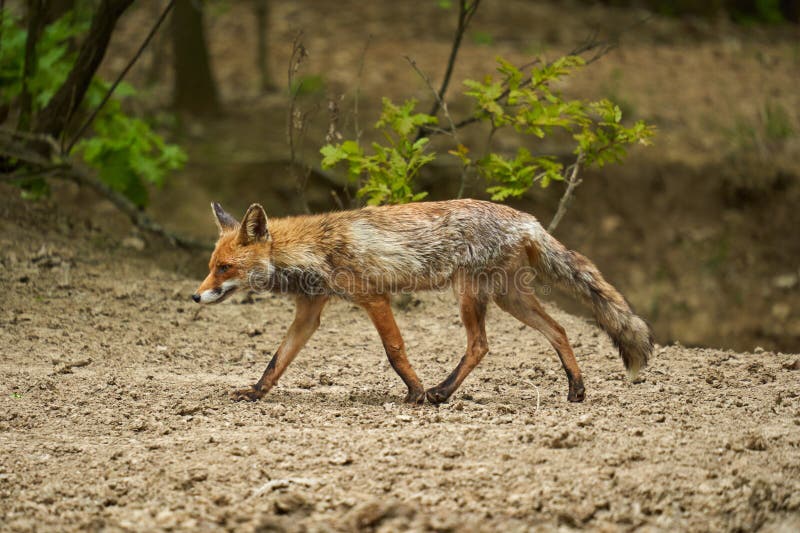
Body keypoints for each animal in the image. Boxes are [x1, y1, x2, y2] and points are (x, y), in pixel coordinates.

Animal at [193, 199, 652, 404]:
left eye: (225, 268)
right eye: (212, 266)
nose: (195, 295)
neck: (314, 248)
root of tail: (528, 219)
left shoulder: (374, 297)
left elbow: (395, 351)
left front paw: (413, 392)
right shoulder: (310, 311)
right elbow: (277, 359)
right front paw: (255, 392)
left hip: (470, 295)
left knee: (480, 345)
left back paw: (440, 392)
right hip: (508, 298)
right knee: (558, 329)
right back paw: (576, 388)